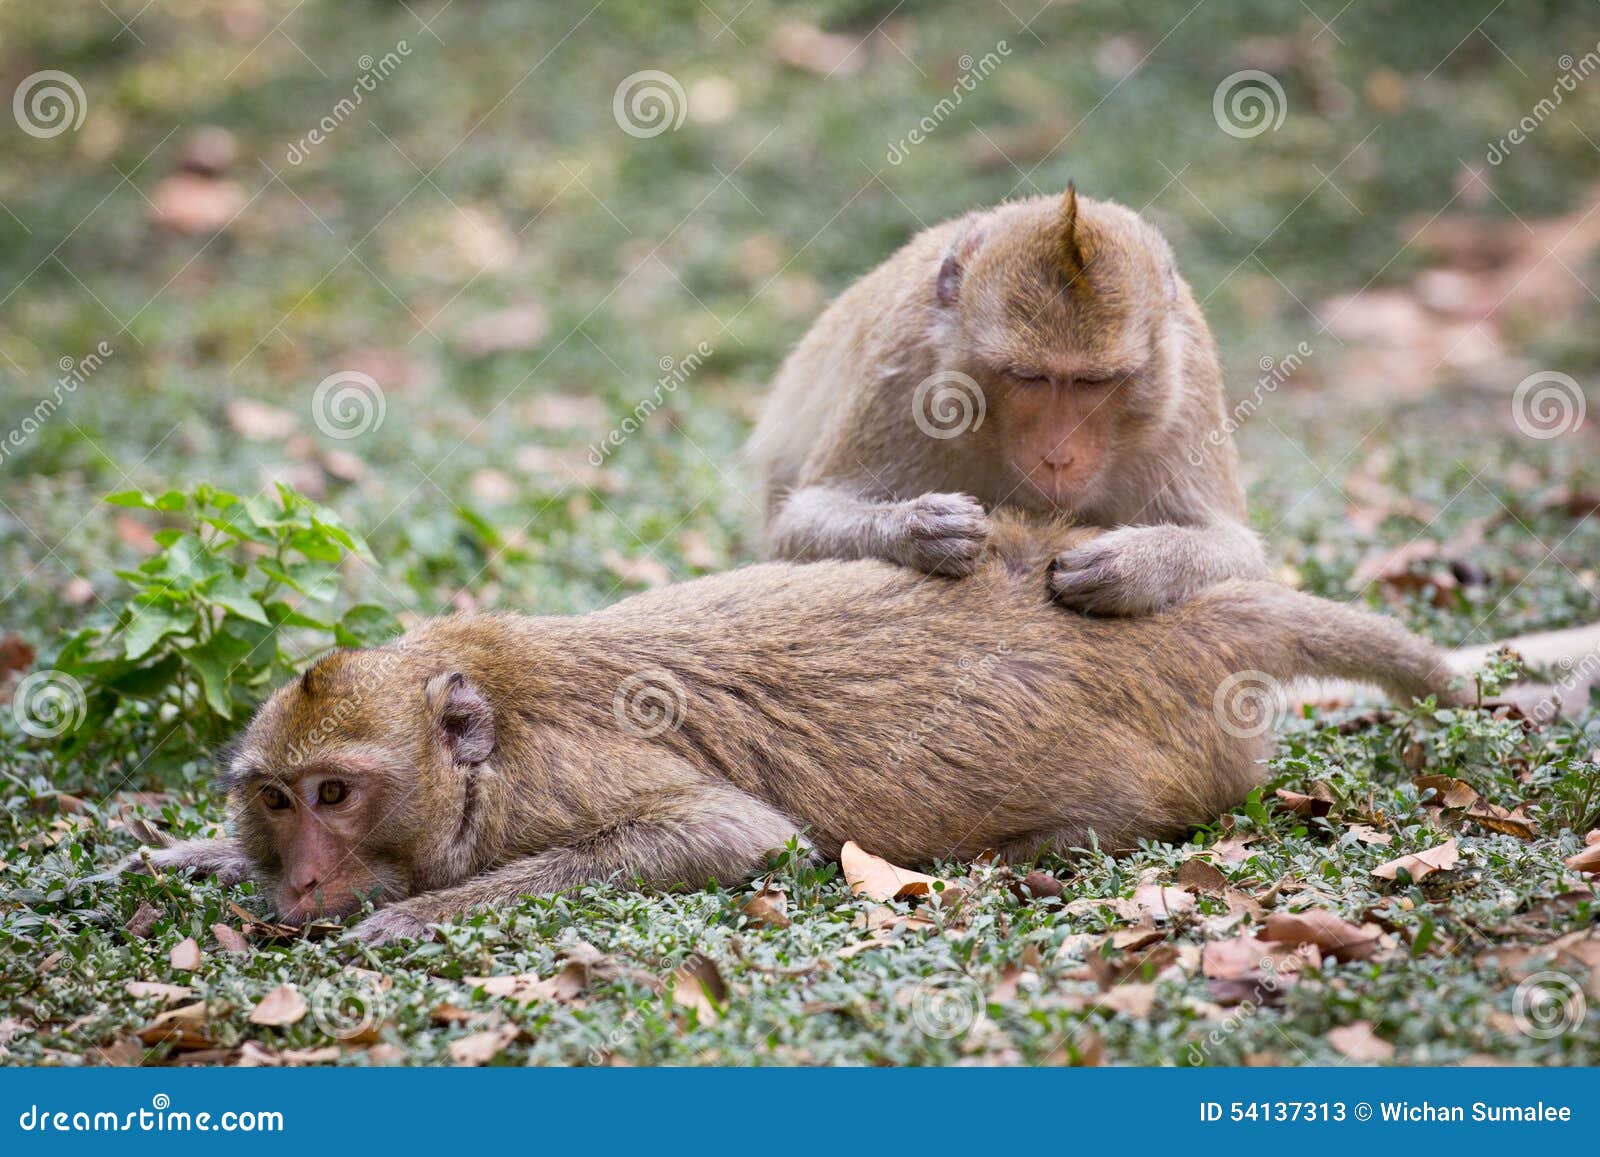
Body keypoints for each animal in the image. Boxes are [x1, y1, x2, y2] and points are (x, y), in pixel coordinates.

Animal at [113, 514, 1464, 945]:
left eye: (337, 794)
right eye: (276, 797)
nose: (299, 876)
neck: (479, 725)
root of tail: (1182, 622)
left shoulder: (552, 782)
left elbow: (726, 830)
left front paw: (405, 915)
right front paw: (199, 854)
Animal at [748, 185, 1267, 617]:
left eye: (1093, 381)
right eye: (1029, 377)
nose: (1059, 455)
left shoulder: (1188, 384)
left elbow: (1243, 554)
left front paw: (1130, 566)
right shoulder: (901, 368)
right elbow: (797, 524)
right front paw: (920, 528)